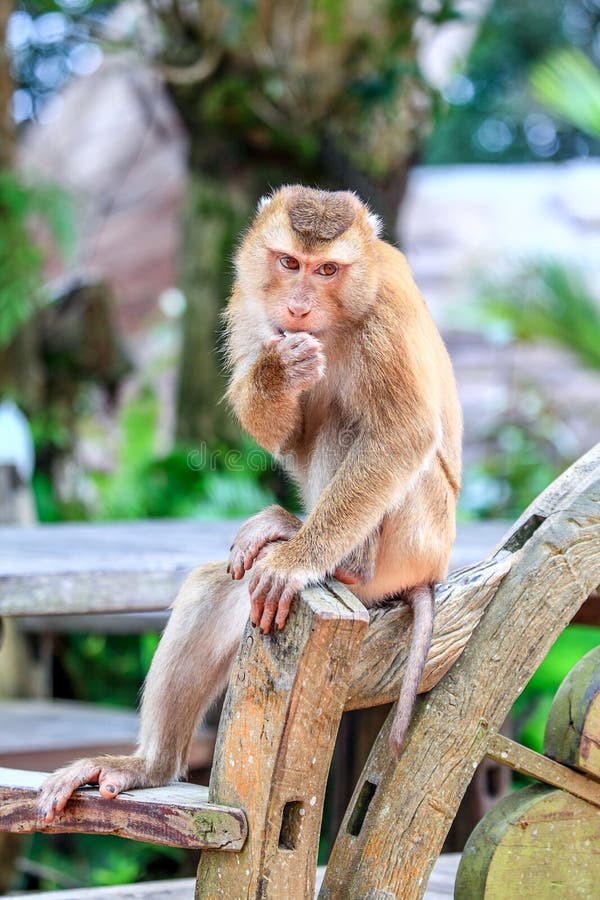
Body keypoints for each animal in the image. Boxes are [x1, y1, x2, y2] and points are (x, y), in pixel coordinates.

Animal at [37, 185, 461, 824]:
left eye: (327, 270)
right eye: (289, 262)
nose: (300, 307)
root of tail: (433, 571)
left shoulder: (386, 308)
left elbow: (402, 434)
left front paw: (296, 562)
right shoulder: (249, 300)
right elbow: (287, 431)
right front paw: (275, 371)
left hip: (417, 538)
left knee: (353, 424)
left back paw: (334, 559)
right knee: (217, 585)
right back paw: (148, 766)